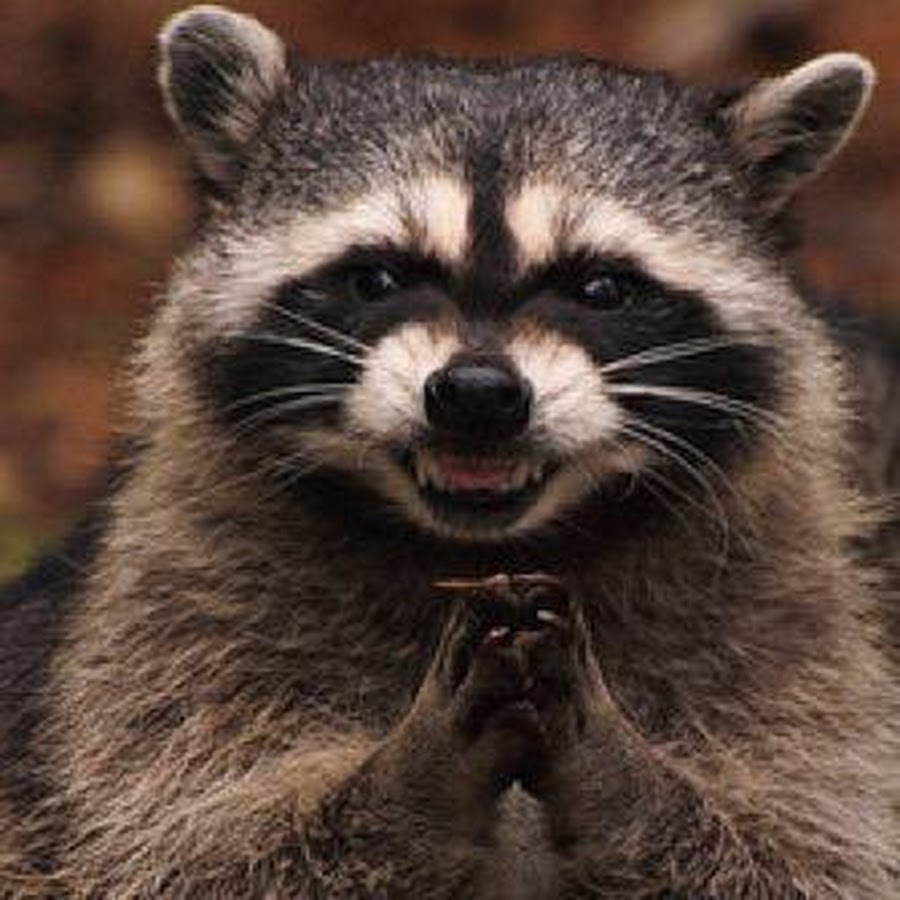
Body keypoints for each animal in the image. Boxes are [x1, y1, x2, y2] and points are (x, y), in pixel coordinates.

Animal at [0, 4, 897, 897]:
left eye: (601, 287)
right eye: (378, 277)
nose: (476, 394)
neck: (483, 547)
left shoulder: (782, 617)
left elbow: (809, 850)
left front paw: (624, 780)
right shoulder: (180, 609)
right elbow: (193, 846)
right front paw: (408, 782)